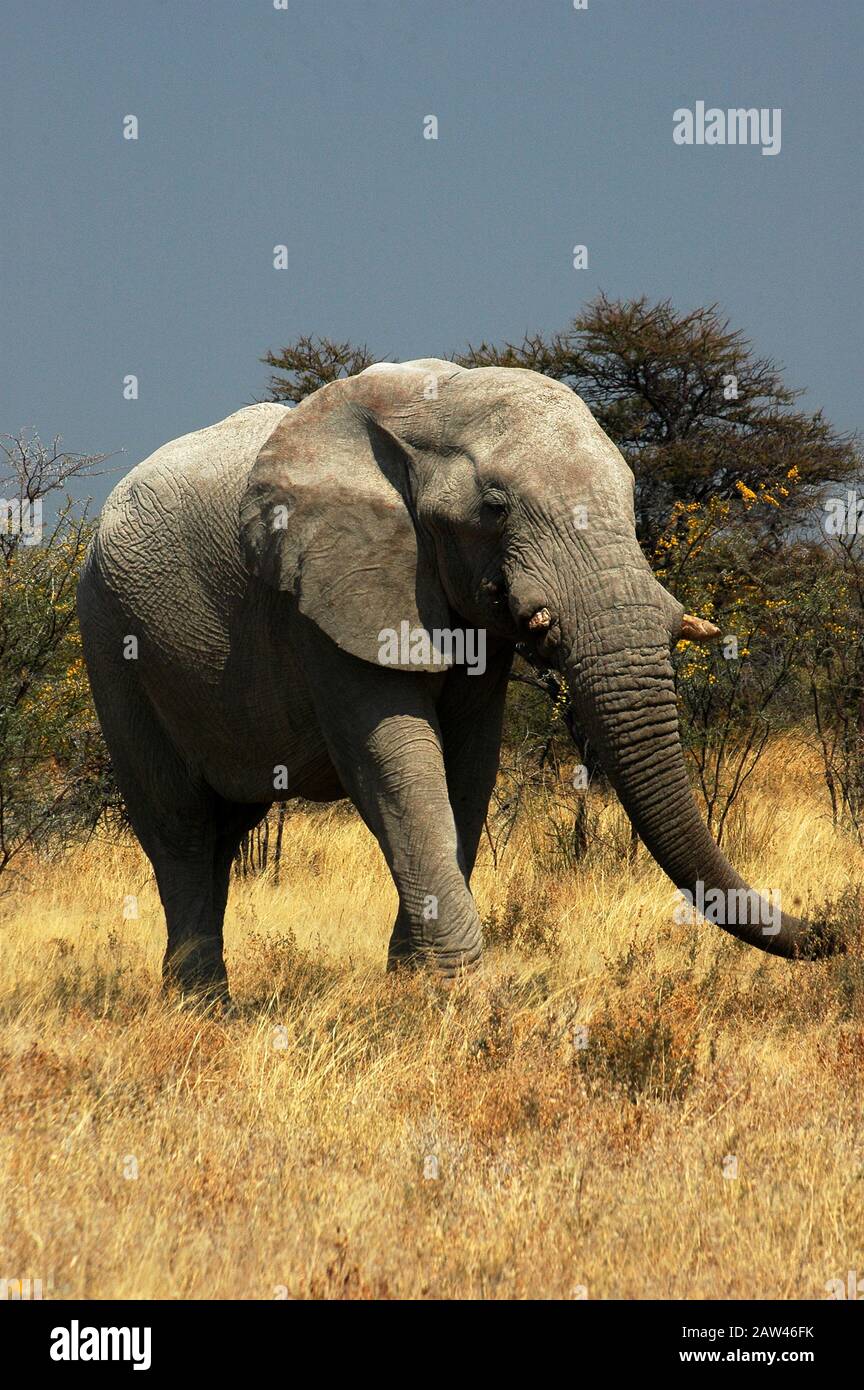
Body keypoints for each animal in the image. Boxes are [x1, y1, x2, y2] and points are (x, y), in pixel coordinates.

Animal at [77, 359, 839, 997]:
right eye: (495, 508)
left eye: (628, 497)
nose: (832, 930)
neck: (436, 403)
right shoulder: (323, 595)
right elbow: (396, 761)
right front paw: (459, 999)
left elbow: (469, 764)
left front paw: (414, 986)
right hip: (110, 637)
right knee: (179, 826)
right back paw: (202, 1013)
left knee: (226, 832)